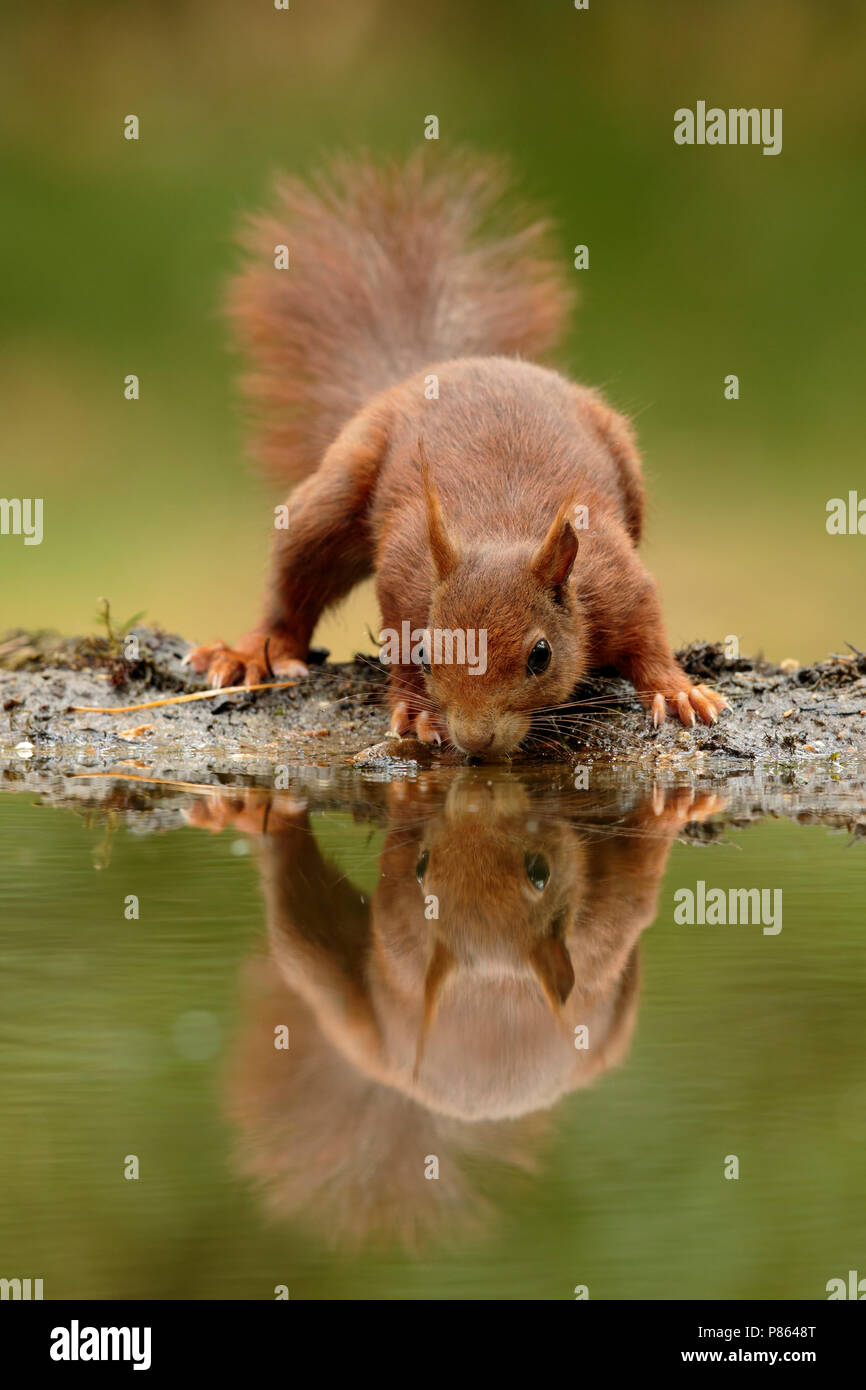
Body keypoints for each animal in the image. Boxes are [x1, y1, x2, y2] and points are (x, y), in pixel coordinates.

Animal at [186, 152, 728, 757]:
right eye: (428, 651)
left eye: (540, 656)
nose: (476, 739)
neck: (501, 533)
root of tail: (429, 371)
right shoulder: (404, 577)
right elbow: (395, 641)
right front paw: (417, 711)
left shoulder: (614, 576)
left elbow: (648, 631)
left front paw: (678, 690)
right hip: (334, 493)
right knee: (293, 584)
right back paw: (251, 651)